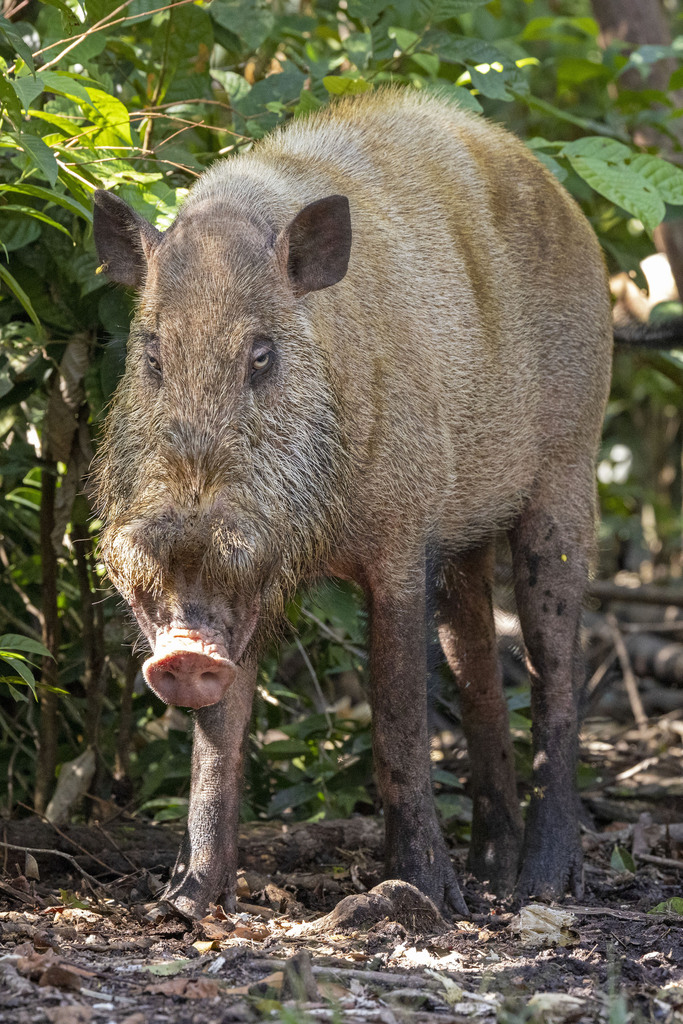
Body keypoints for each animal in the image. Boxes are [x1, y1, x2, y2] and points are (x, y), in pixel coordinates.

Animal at [91, 88, 612, 920]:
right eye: (151, 355)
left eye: (261, 355)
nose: (182, 654)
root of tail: (557, 193)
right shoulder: (246, 583)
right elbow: (221, 728)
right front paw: (184, 904)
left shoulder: (400, 535)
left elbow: (396, 706)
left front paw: (425, 896)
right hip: (464, 534)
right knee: (476, 670)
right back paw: (492, 872)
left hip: (570, 462)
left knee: (553, 668)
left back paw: (538, 885)